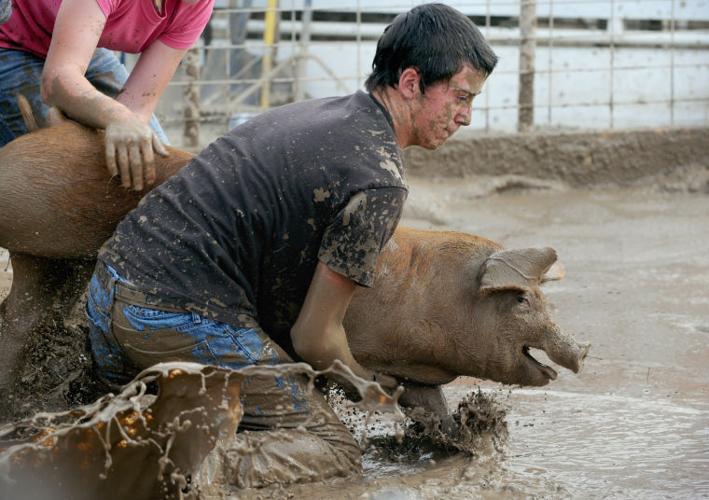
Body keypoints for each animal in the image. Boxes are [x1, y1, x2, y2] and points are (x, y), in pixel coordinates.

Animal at [0, 120, 589, 418]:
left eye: (543, 295)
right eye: (522, 299)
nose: (582, 349)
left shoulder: (417, 371)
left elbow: (431, 411)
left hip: (51, 265)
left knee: (19, 319)